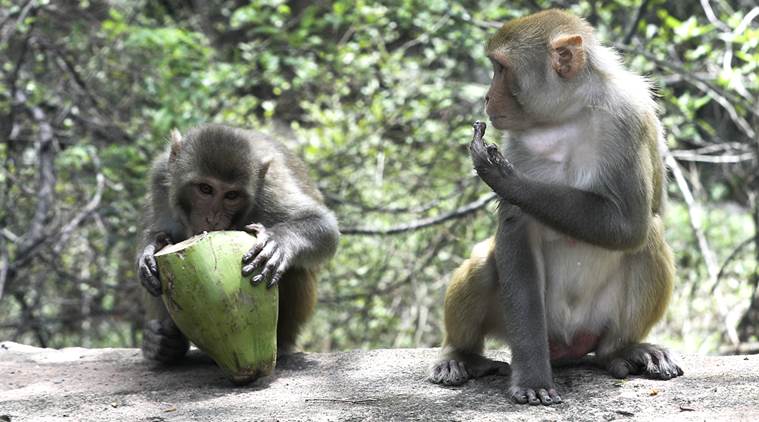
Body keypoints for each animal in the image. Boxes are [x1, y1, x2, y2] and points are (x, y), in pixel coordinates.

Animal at [136, 124, 339, 364]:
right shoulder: (160, 176)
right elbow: (160, 232)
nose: (213, 218)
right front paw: (150, 251)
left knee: (295, 268)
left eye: (232, 195)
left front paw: (277, 243)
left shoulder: (270, 187)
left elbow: (323, 225)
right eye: (205, 189)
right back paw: (164, 345)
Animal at [429, 10, 682, 405]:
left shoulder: (627, 120)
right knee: (486, 261)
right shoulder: (518, 139)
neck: (570, 115)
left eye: (500, 68)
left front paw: (507, 181)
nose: (486, 96)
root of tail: (569, 345)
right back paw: (462, 354)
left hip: (599, 323)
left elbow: (630, 225)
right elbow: (516, 230)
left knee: (649, 238)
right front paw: (532, 378)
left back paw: (622, 350)